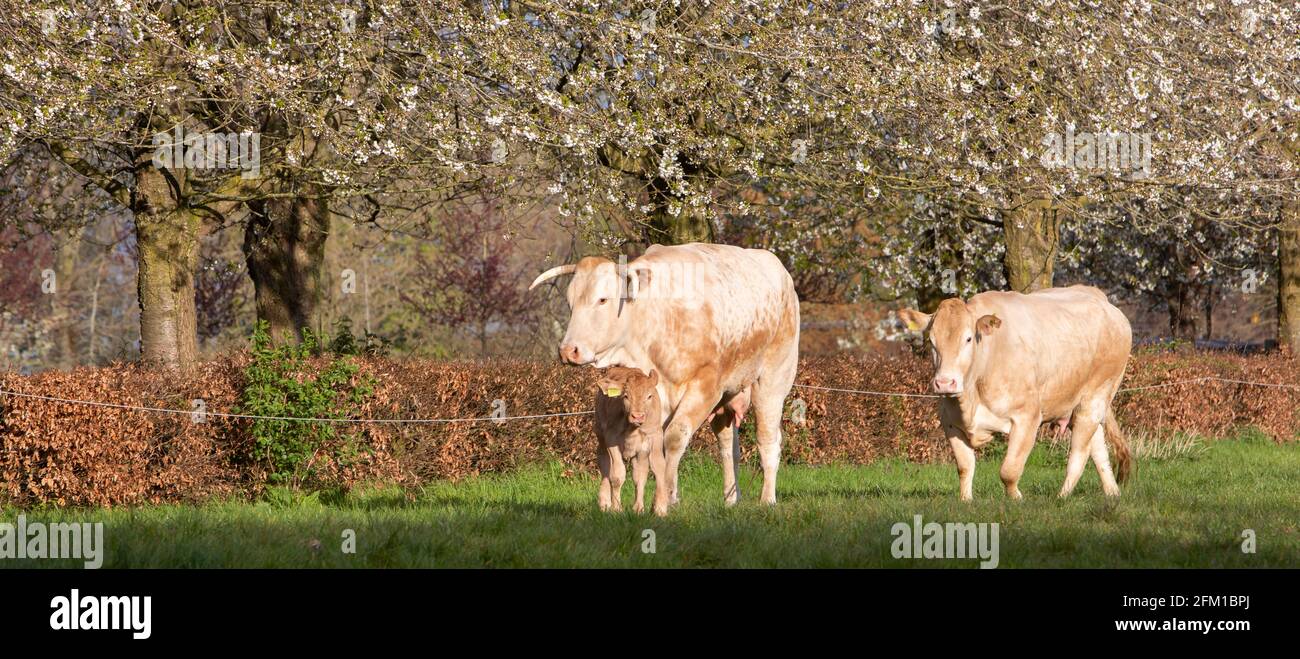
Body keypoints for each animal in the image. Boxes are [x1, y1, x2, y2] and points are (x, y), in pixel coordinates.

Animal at [593, 367, 664, 513]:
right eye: (626, 396)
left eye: (649, 396)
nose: (637, 416)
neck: (632, 428)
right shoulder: (611, 440)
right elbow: (617, 475)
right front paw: (616, 508)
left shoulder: (645, 445)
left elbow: (640, 477)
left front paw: (639, 508)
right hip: (601, 437)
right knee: (604, 465)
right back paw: (605, 503)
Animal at [898, 285, 1132, 501]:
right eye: (931, 341)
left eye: (968, 339)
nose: (945, 383)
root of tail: (1099, 297)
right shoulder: (950, 423)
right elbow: (965, 467)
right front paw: (966, 501)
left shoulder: (1027, 417)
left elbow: (1009, 470)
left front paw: (1016, 499)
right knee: (1098, 448)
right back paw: (1112, 492)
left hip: (1096, 396)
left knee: (1079, 454)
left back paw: (1061, 497)